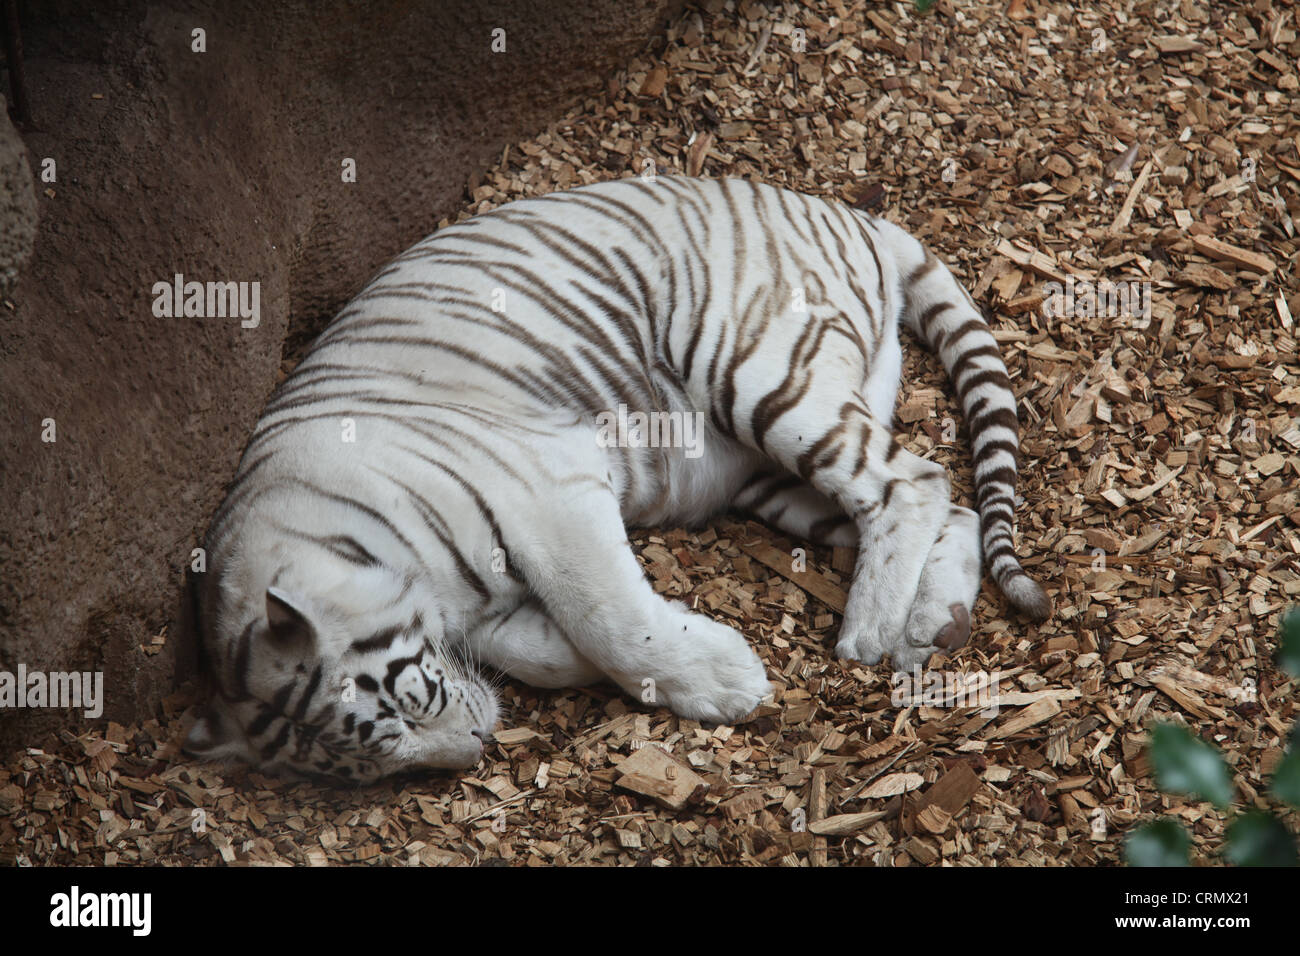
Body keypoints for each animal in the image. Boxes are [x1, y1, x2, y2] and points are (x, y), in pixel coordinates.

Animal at [184, 175, 1050, 783]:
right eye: (371, 768)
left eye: (411, 702)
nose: (476, 745)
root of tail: (850, 215)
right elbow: (539, 649)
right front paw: (572, 661)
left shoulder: (551, 488)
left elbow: (607, 612)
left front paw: (723, 682)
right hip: (770, 468)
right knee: (953, 507)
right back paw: (933, 622)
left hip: (760, 373)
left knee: (916, 480)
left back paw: (871, 630)